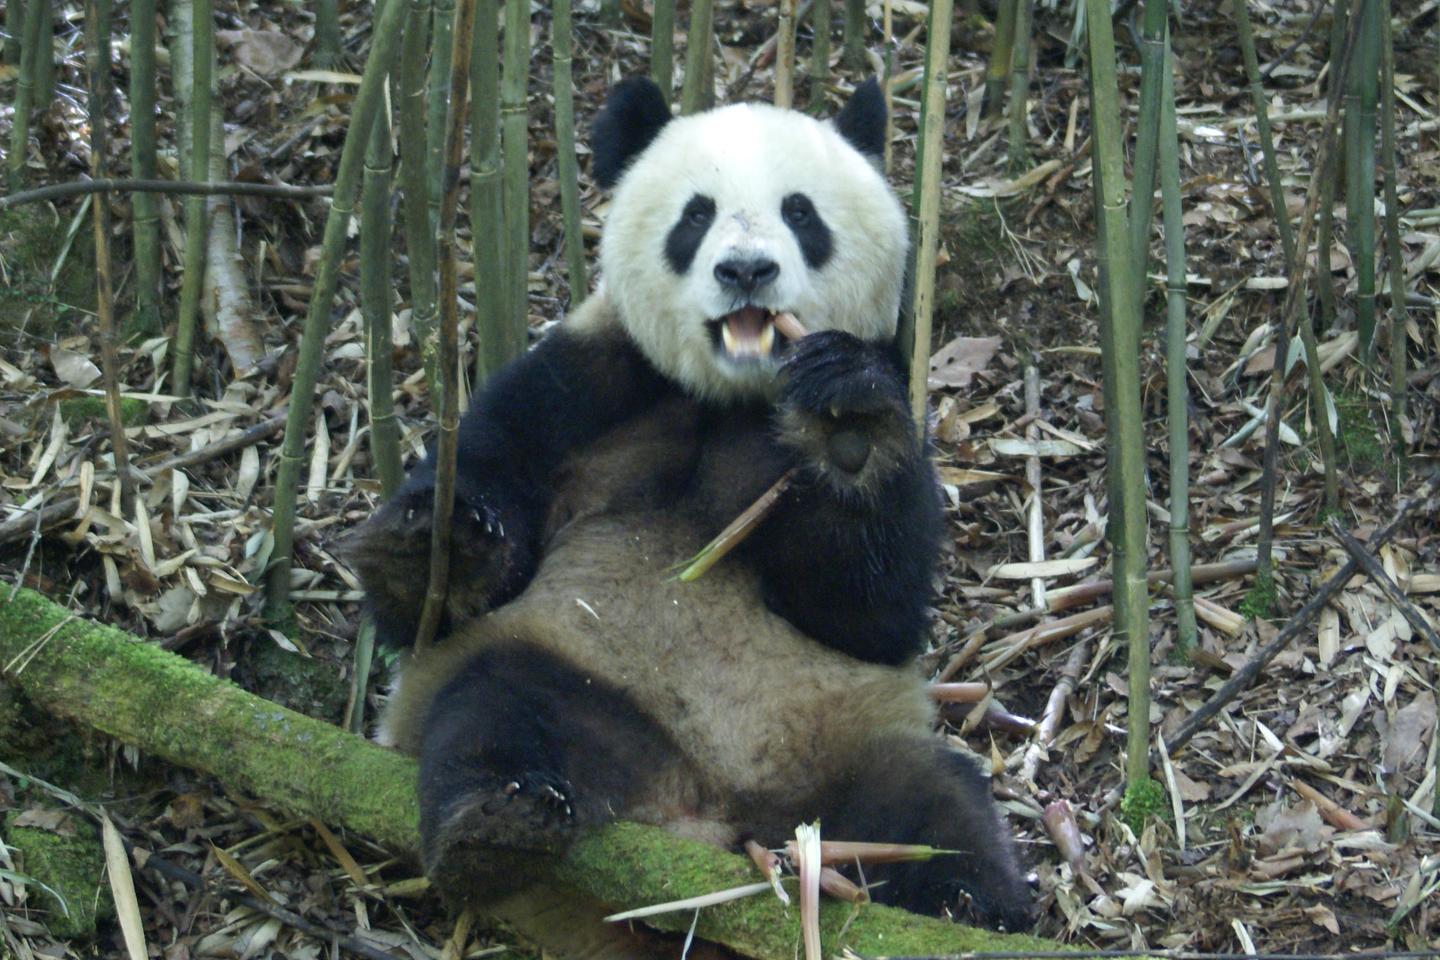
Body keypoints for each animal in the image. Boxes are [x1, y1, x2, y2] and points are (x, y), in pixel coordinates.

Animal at [344, 77, 1032, 934]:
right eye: (695, 216)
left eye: (801, 212)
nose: (747, 270)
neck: (729, 395)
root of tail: (699, 811)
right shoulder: (584, 382)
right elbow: (442, 593)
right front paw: (431, 548)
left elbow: (870, 614)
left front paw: (850, 427)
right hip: (578, 672)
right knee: (494, 706)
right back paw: (494, 827)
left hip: (842, 738)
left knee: (931, 803)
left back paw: (977, 904)